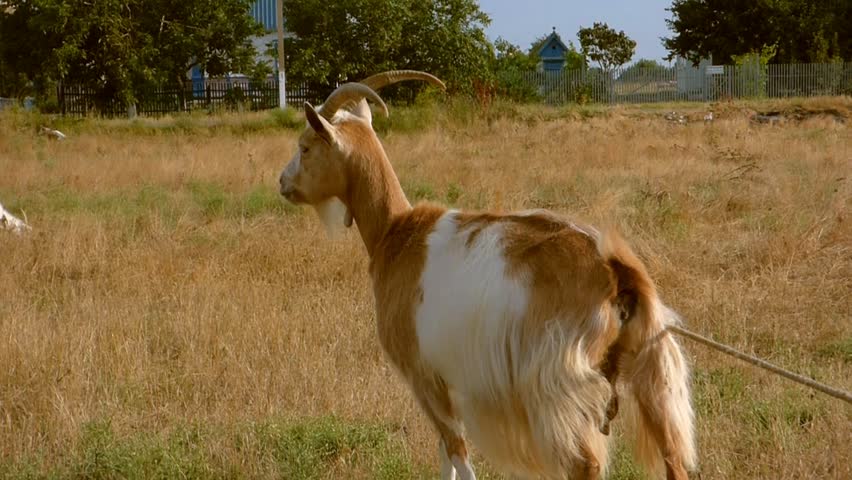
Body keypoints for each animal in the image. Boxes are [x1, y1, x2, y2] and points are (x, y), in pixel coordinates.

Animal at [278, 71, 696, 480]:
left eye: (305, 146)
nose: (283, 183)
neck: (395, 233)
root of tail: (615, 273)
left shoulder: (424, 376)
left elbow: (456, 452)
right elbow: (444, 453)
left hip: (557, 385)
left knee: (585, 463)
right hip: (655, 376)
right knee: (672, 457)